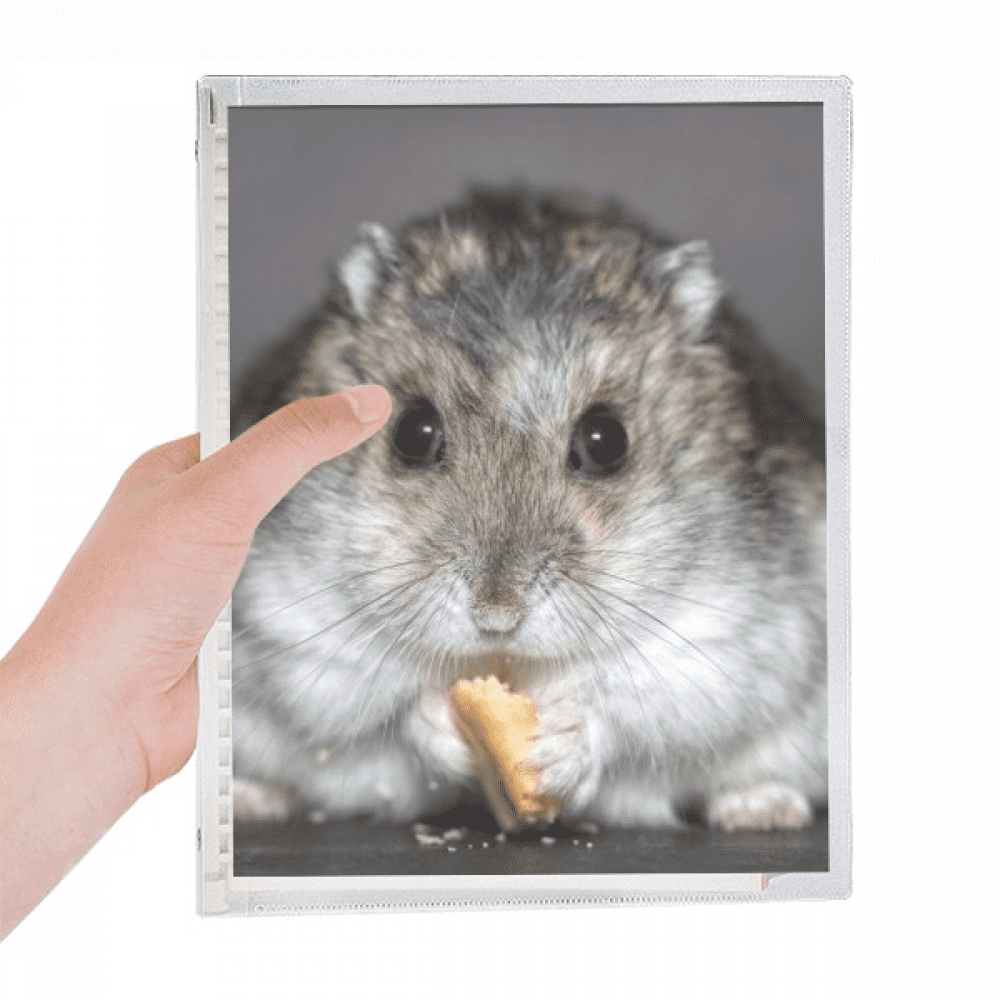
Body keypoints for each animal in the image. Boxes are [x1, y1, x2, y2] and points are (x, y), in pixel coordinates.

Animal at [231, 187, 827, 831]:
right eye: (413, 433)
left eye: (606, 440)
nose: (497, 617)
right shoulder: (297, 628)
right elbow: (385, 708)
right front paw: (445, 724)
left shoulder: (722, 639)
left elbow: (628, 706)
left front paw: (557, 746)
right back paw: (249, 798)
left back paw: (762, 809)